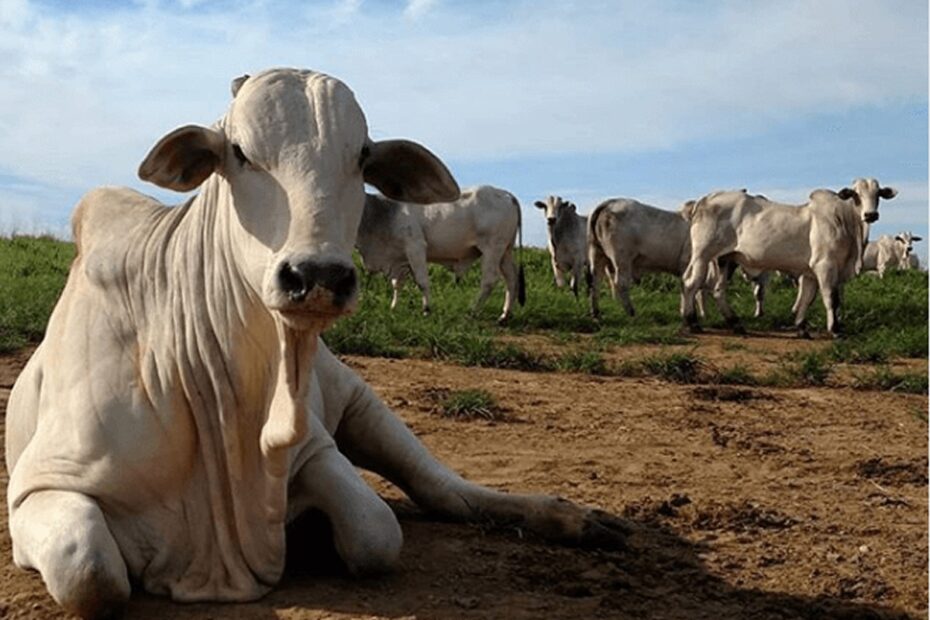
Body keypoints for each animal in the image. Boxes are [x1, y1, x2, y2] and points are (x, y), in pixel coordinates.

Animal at [356, 186, 526, 322]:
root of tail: (506, 194)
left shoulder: (415, 247)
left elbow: (422, 281)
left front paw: (426, 310)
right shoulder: (399, 259)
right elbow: (397, 284)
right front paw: (393, 307)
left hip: (492, 249)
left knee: (490, 280)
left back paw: (472, 311)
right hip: (505, 252)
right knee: (511, 278)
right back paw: (504, 315)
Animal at [681, 178, 897, 337]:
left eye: (878, 194)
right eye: (856, 195)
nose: (870, 215)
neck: (844, 221)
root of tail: (703, 200)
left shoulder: (810, 273)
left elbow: (807, 299)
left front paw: (801, 328)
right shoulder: (825, 266)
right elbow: (831, 299)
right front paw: (835, 330)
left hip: (726, 259)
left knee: (718, 291)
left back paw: (735, 324)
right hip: (703, 255)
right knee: (691, 283)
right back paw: (692, 322)